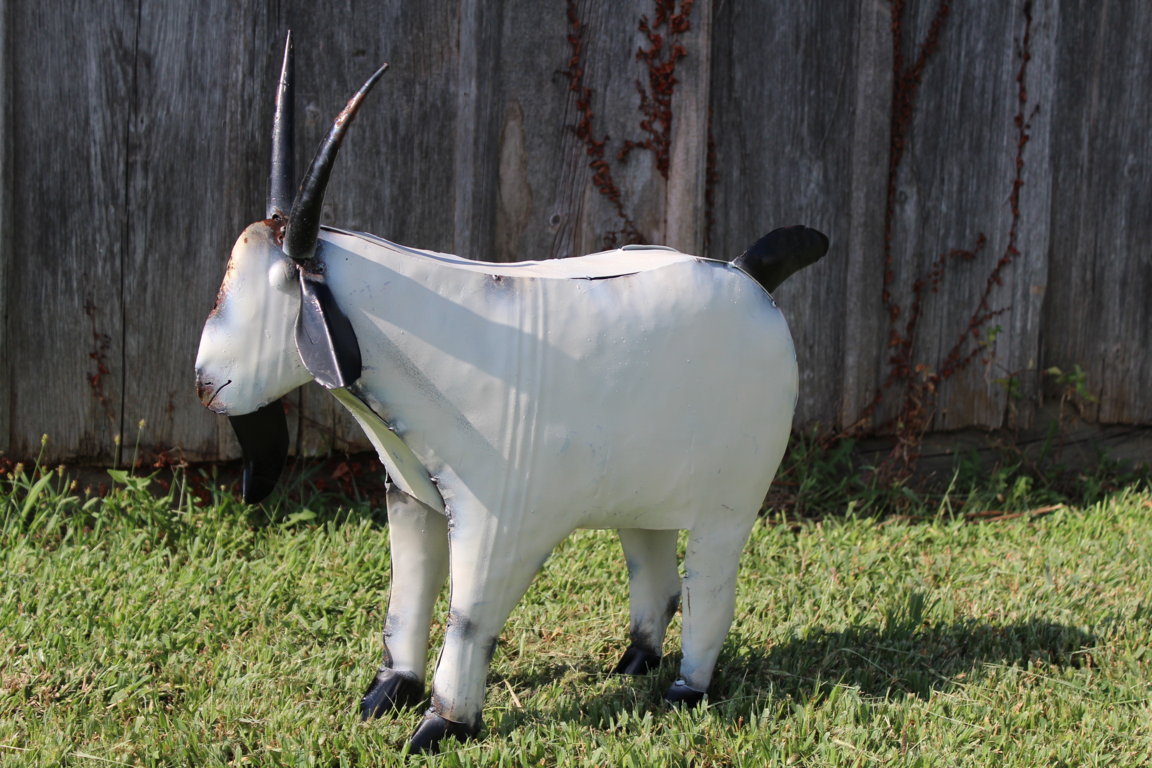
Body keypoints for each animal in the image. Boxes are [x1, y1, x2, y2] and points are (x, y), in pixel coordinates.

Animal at [194, 35, 828, 753]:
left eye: (284, 288)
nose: (208, 382)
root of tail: (750, 272)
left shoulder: (500, 523)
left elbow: (469, 617)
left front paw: (442, 724)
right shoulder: (412, 497)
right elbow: (408, 594)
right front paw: (388, 692)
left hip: (731, 501)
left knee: (709, 589)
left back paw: (687, 689)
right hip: (643, 492)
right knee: (656, 573)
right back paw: (635, 661)